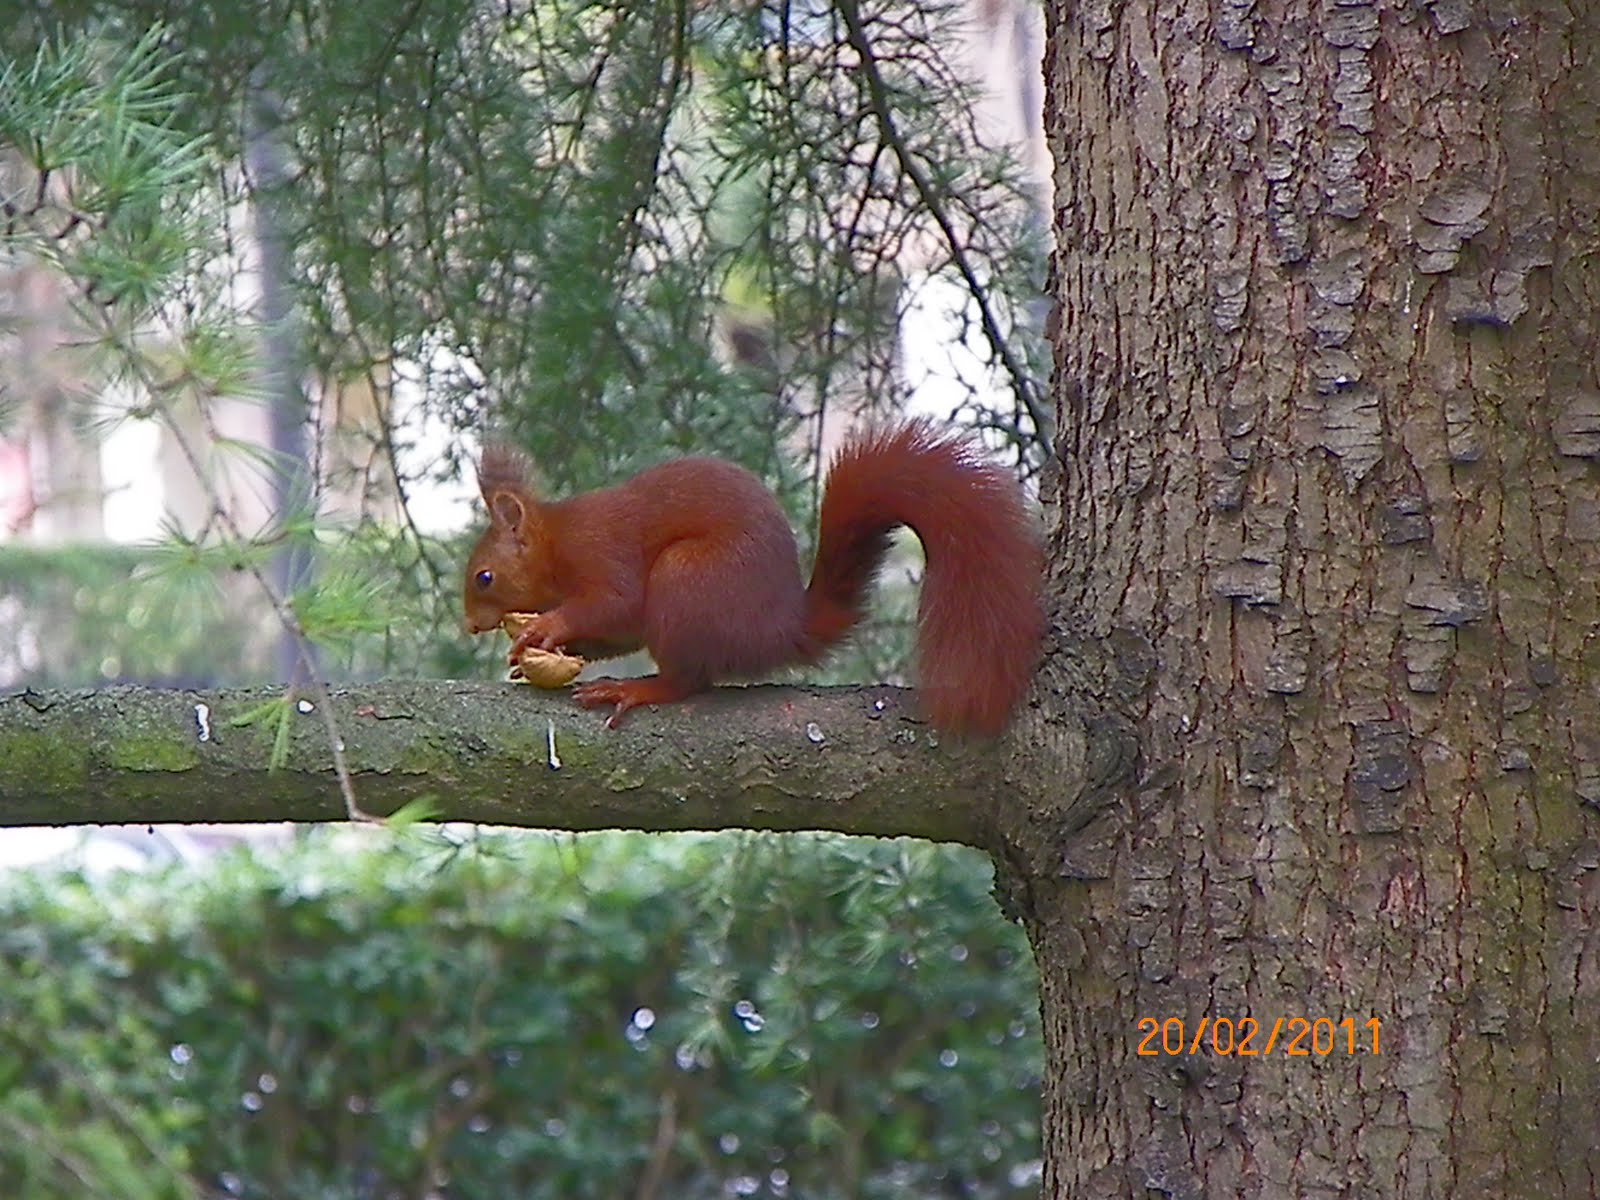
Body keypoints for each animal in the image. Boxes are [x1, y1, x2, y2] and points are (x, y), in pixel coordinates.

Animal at [463, 421, 1043, 734]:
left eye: (484, 577)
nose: (470, 626)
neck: (555, 542)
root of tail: (779, 628)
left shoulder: (601, 555)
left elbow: (615, 603)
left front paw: (546, 628)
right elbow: (613, 633)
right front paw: (530, 655)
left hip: (686, 582)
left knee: (688, 681)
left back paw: (637, 690)